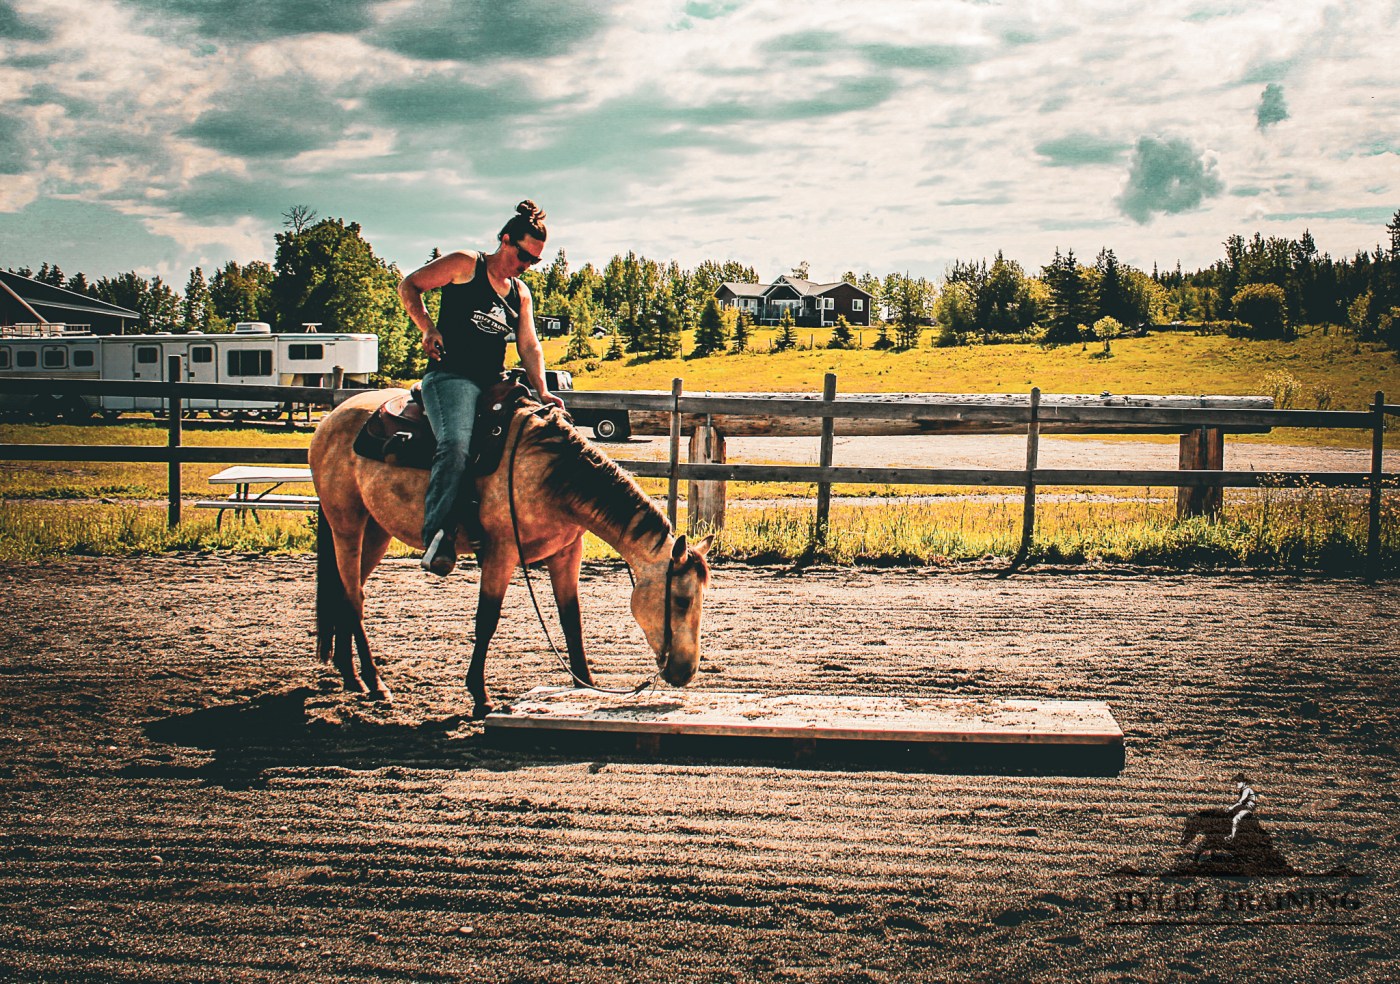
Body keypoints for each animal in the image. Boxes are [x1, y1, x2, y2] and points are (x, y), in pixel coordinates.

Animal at [308, 388, 713, 719]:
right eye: (681, 600)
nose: (685, 671)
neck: (550, 473)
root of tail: (331, 417)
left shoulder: (567, 552)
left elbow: (572, 620)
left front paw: (583, 684)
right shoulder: (501, 552)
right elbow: (487, 619)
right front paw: (480, 696)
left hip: (375, 529)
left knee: (346, 591)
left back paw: (350, 675)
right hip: (346, 523)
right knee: (353, 596)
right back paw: (374, 682)